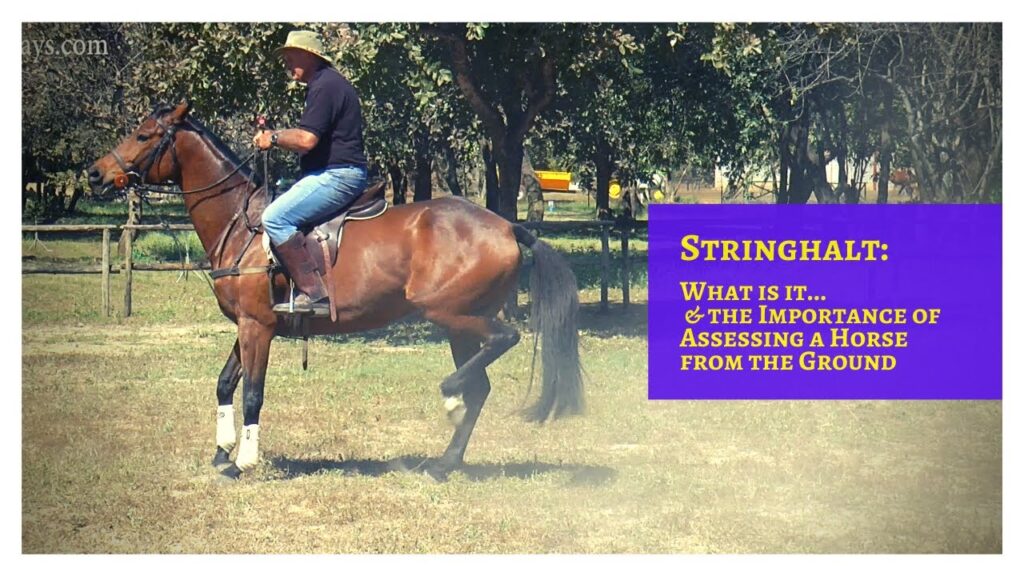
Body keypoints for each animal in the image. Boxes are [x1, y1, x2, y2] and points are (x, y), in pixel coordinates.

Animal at [87, 101, 584, 480]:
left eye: (144, 135)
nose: (94, 174)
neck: (243, 225)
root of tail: (508, 227)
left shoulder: (258, 328)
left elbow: (252, 393)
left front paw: (244, 460)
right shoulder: (247, 325)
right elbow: (225, 383)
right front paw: (221, 452)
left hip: (451, 315)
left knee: (504, 341)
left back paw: (449, 398)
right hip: (458, 327)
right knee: (480, 386)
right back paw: (445, 462)